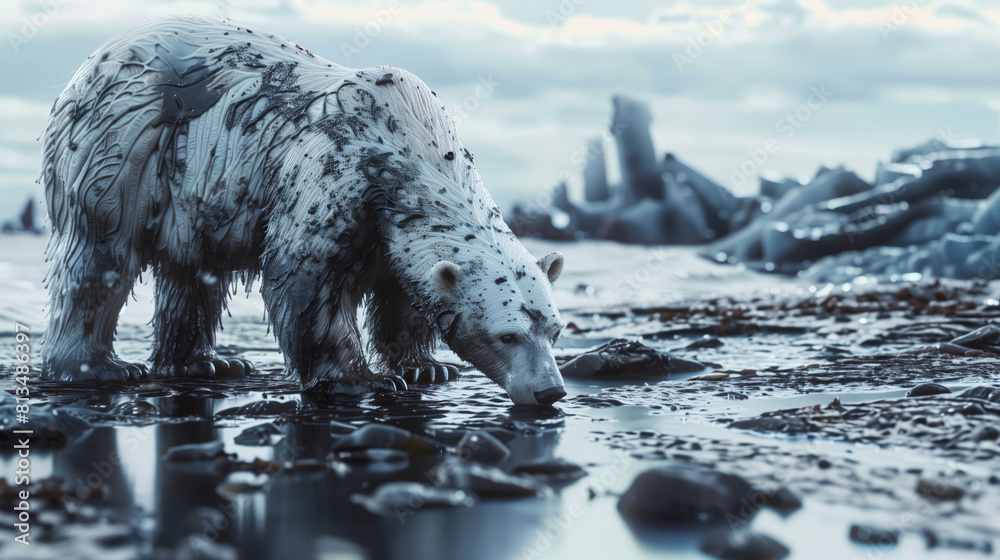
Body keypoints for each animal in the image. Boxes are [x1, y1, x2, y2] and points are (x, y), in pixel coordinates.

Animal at [40, 16, 568, 406]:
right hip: (123, 142)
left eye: (554, 329)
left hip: (195, 185)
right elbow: (305, 273)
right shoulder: (335, 176)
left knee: (194, 270)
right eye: (507, 335)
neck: (411, 138)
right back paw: (98, 369)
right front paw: (361, 380)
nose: (550, 393)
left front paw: (428, 367)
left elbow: (402, 294)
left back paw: (207, 362)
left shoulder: (391, 225)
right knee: (100, 254)